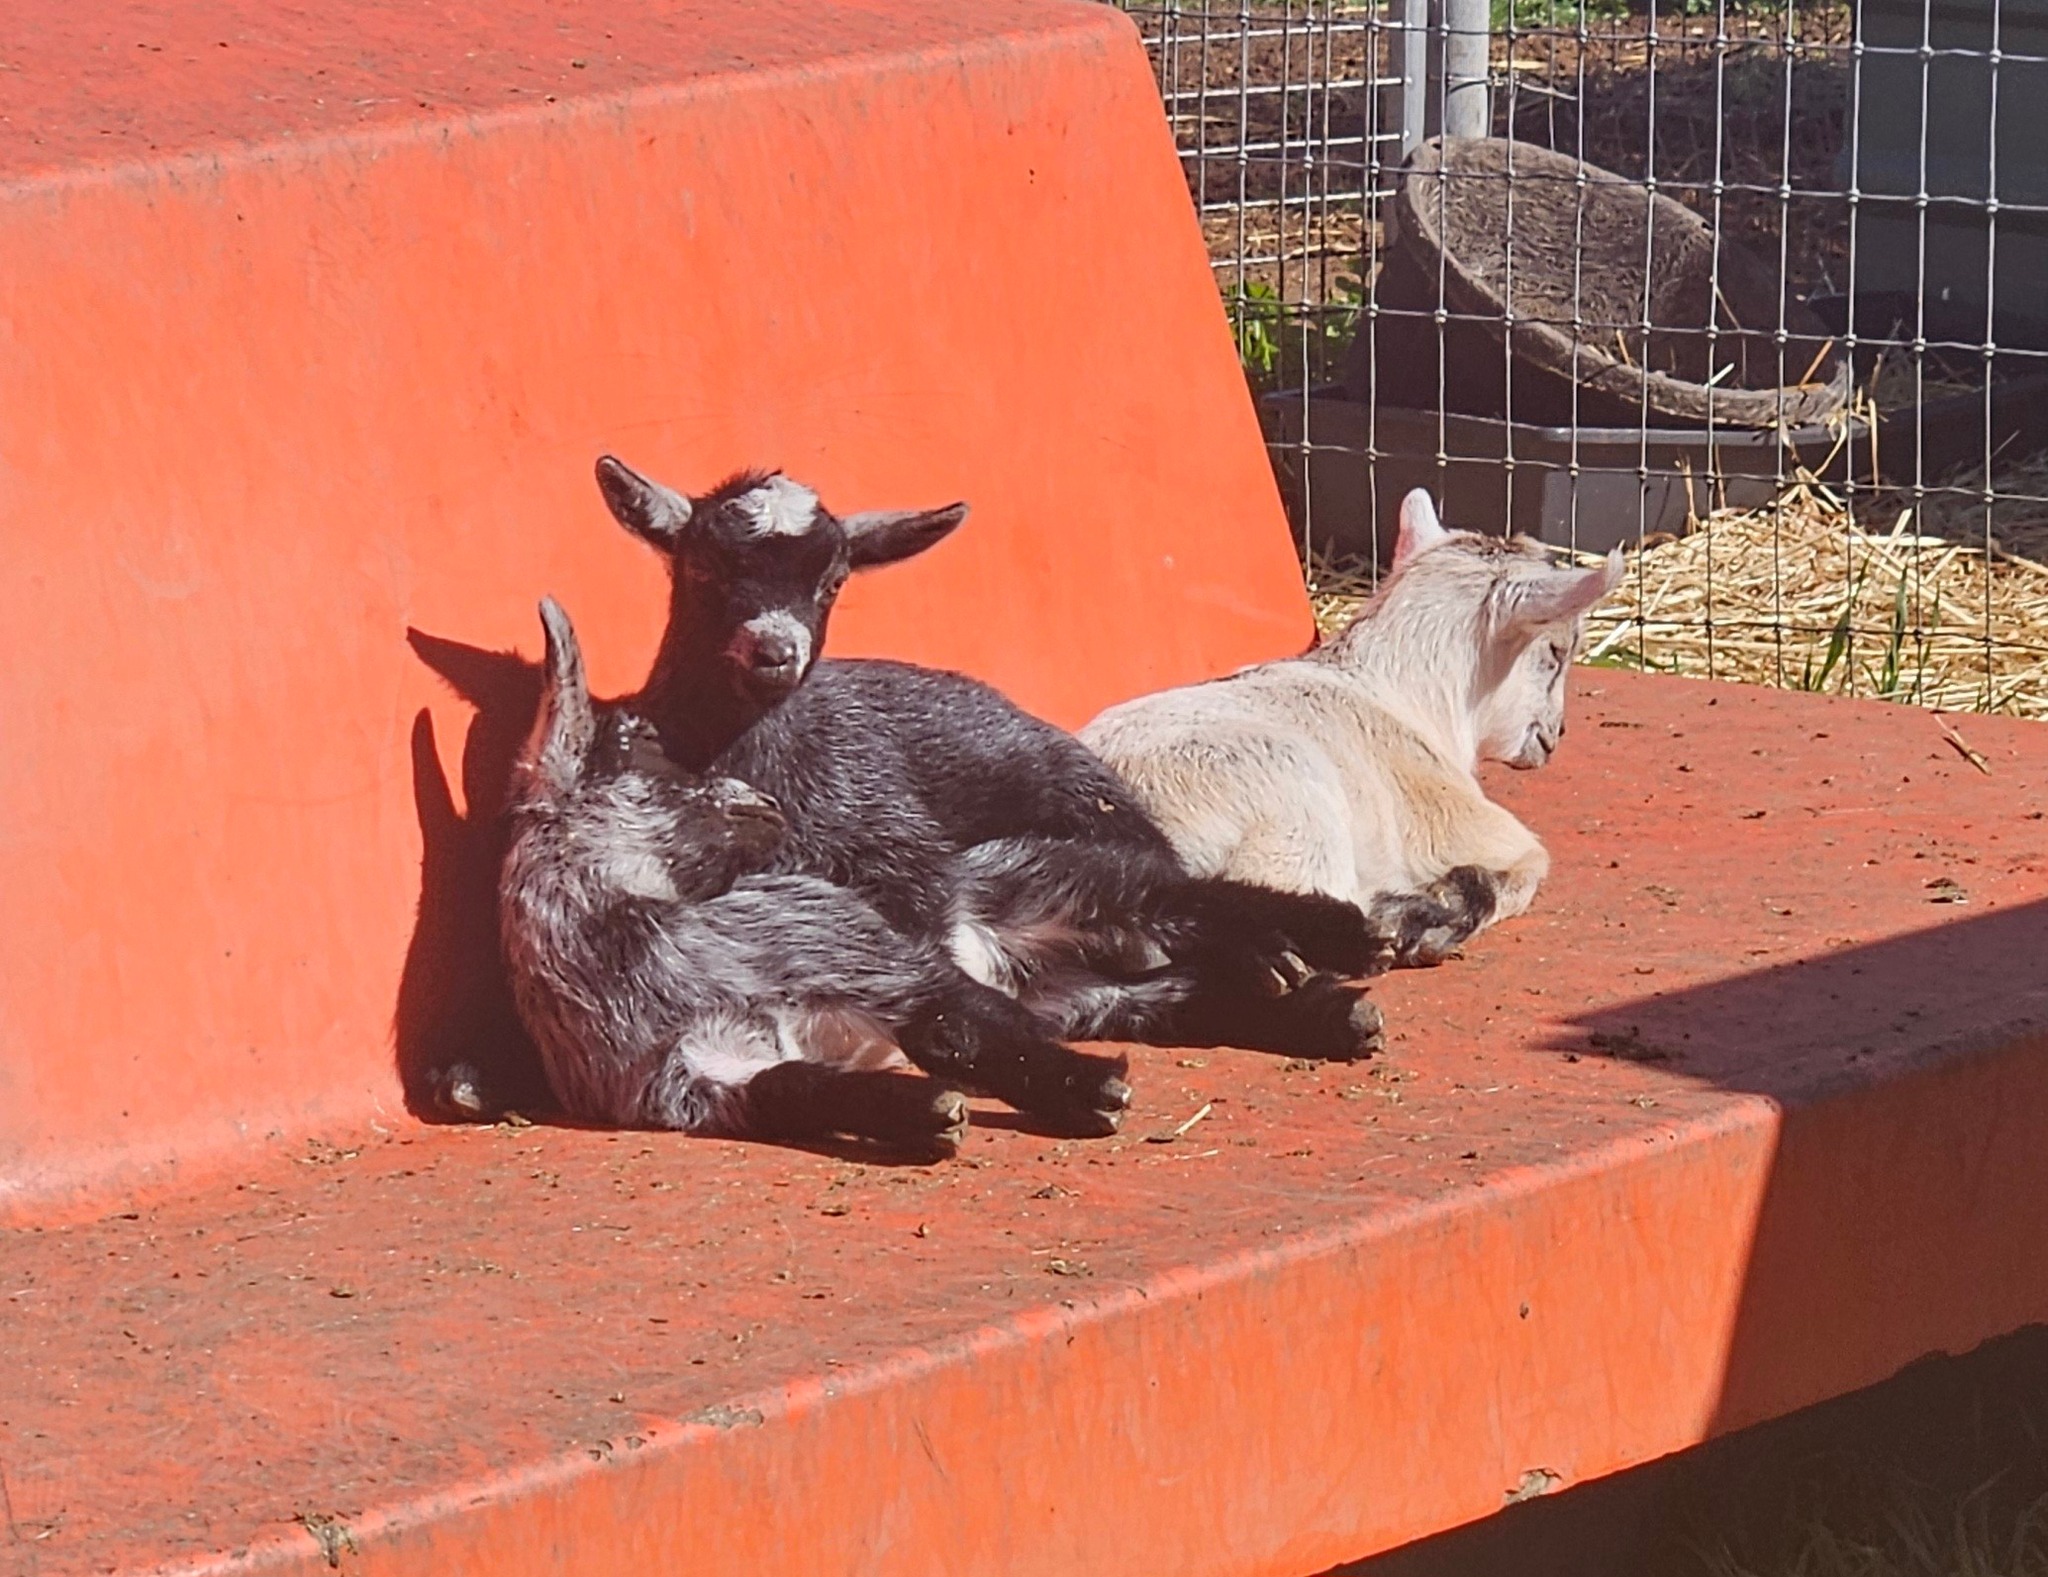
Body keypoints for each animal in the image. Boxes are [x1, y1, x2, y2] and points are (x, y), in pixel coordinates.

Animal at [500, 597, 1135, 1154]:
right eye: (646, 741)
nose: (767, 801)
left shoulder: (866, 957)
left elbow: (967, 1024)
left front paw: (1091, 1092)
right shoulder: (691, 1080)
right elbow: (797, 1085)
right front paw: (922, 1114)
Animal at [592, 456, 1391, 1072]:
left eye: (834, 582)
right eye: (702, 567)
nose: (774, 651)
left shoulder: (902, 850)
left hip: (1081, 818)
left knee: (1170, 890)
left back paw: (1315, 946)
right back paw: (1311, 991)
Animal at [1081, 491, 1624, 965]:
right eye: (1555, 651)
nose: (1555, 735)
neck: (1402, 694)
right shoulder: (1456, 819)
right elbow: (1529, 866)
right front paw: (1446, 908)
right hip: (1293, 799)